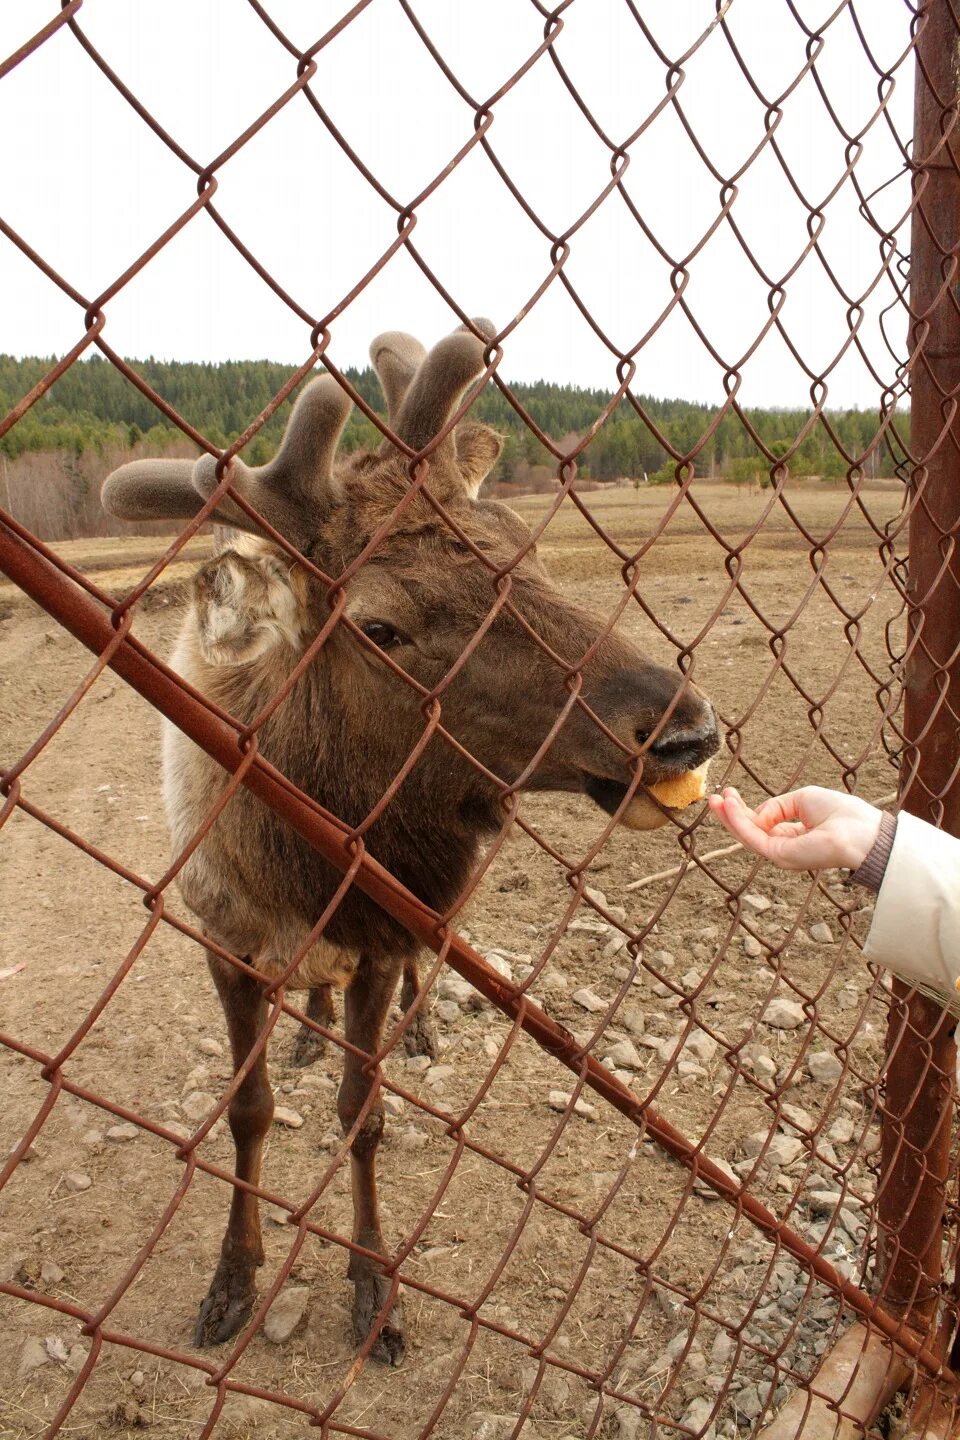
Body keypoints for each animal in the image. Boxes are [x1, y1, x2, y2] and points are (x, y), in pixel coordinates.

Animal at [103, 321, 719, 1365]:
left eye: (524, 552)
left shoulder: (384, 935)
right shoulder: (221, 936)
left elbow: (365, 1115)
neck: (306, 878)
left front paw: (372, 1288)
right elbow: (246, 1111)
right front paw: (232, 1282)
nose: (682, 727)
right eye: (380, 625)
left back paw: (417, 1026)